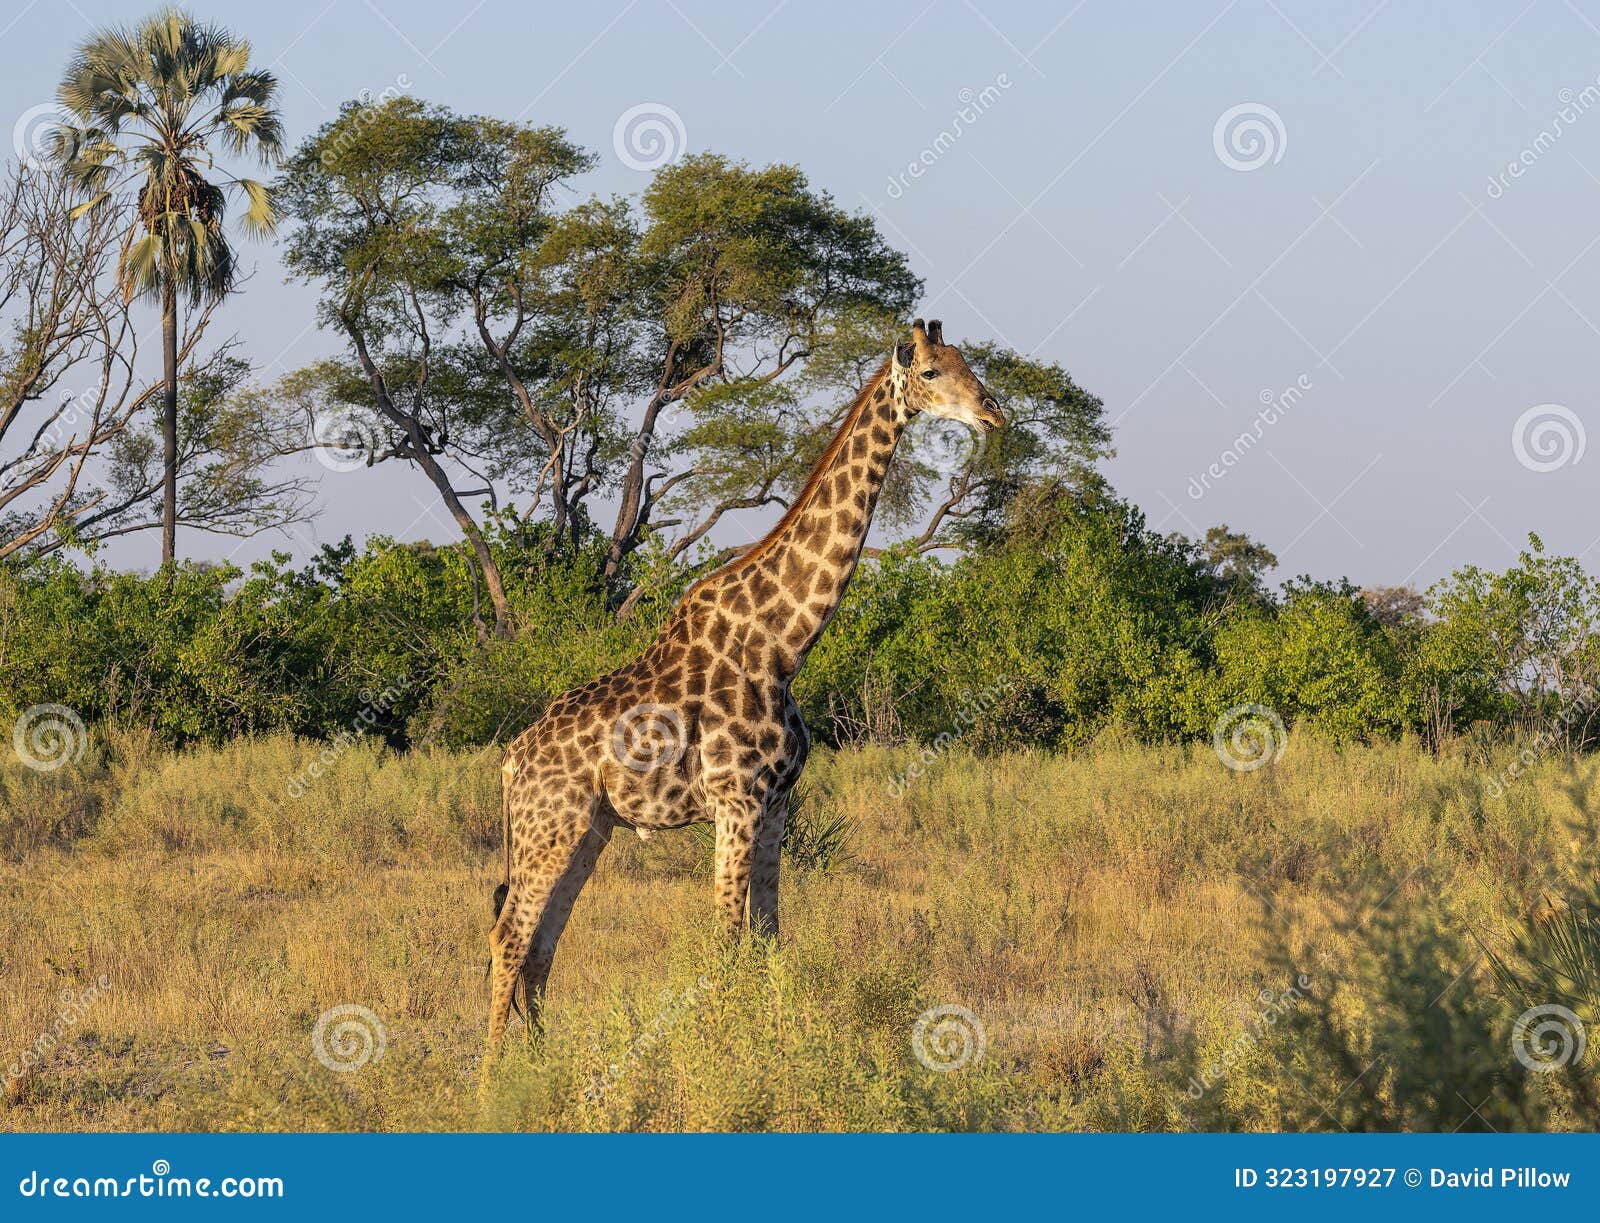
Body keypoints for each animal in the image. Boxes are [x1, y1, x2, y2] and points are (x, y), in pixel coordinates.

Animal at [484, 318, 1003, 1055]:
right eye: (931, 372)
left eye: (966, 360)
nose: (993, 412)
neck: (784, 645)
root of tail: (510, 761)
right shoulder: (735, 802)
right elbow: (726, 942)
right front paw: (721, 1054)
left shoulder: (778, 802)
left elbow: (770, 939)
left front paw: (776, 1049)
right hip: (547, 826)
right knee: (509, 937)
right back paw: (491, 1074)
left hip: (588, 831)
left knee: (541, 946)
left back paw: (537, 1064)